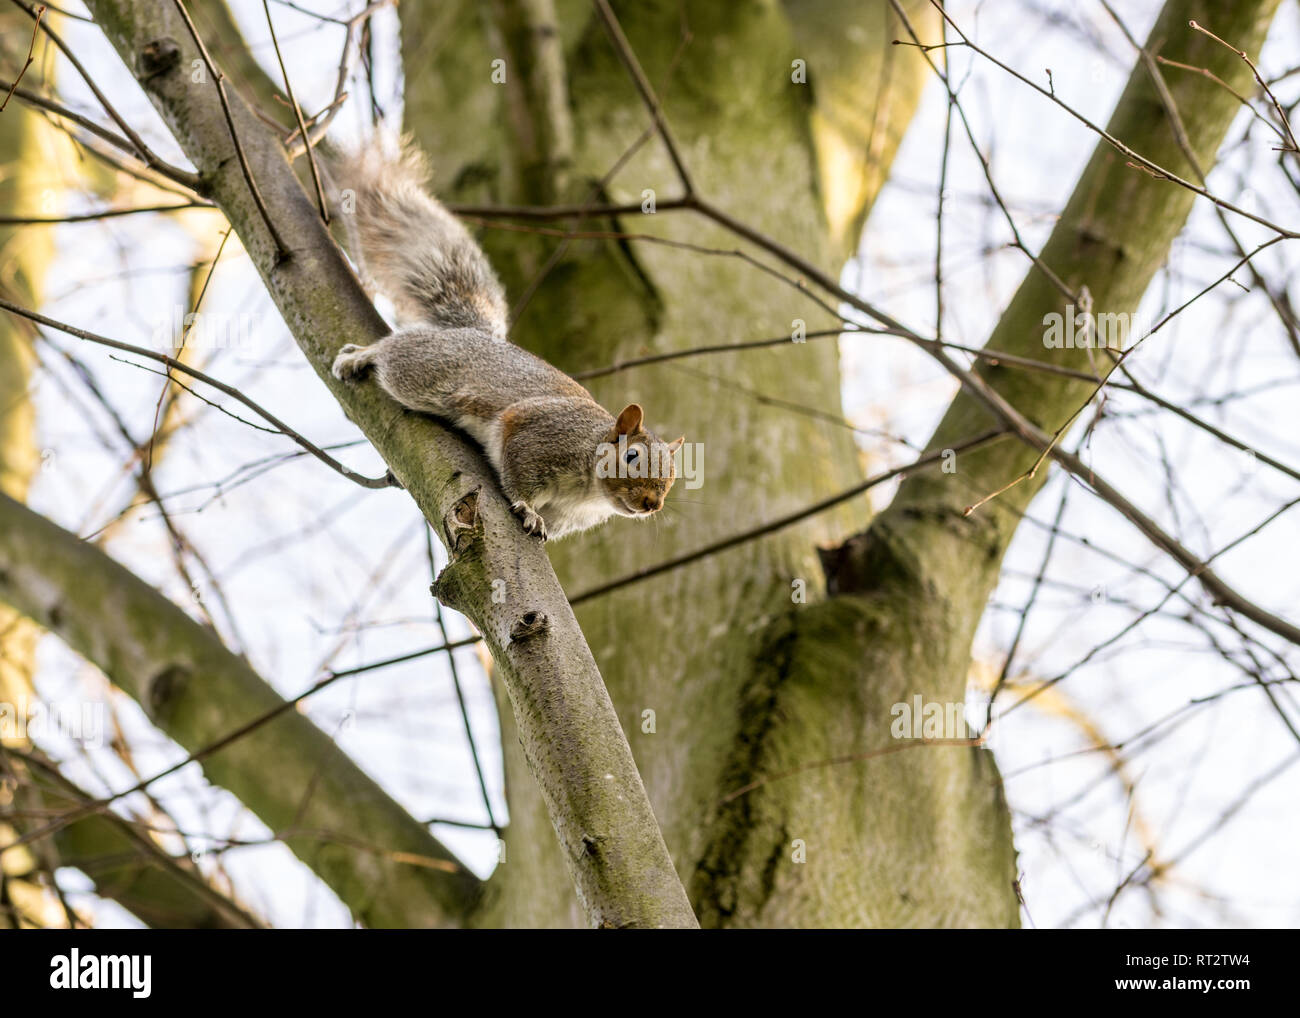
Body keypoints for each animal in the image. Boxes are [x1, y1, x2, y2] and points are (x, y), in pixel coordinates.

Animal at [328, 141, 683, 541]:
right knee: (396, 351)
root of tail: (475, 333)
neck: (588, 489)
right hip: (424, 370)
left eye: (673, 476)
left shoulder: (567, 515)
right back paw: (360, 355)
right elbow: (519, 479)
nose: (652, 504)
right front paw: (527, 510)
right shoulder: (538, 436)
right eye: (631, 456)